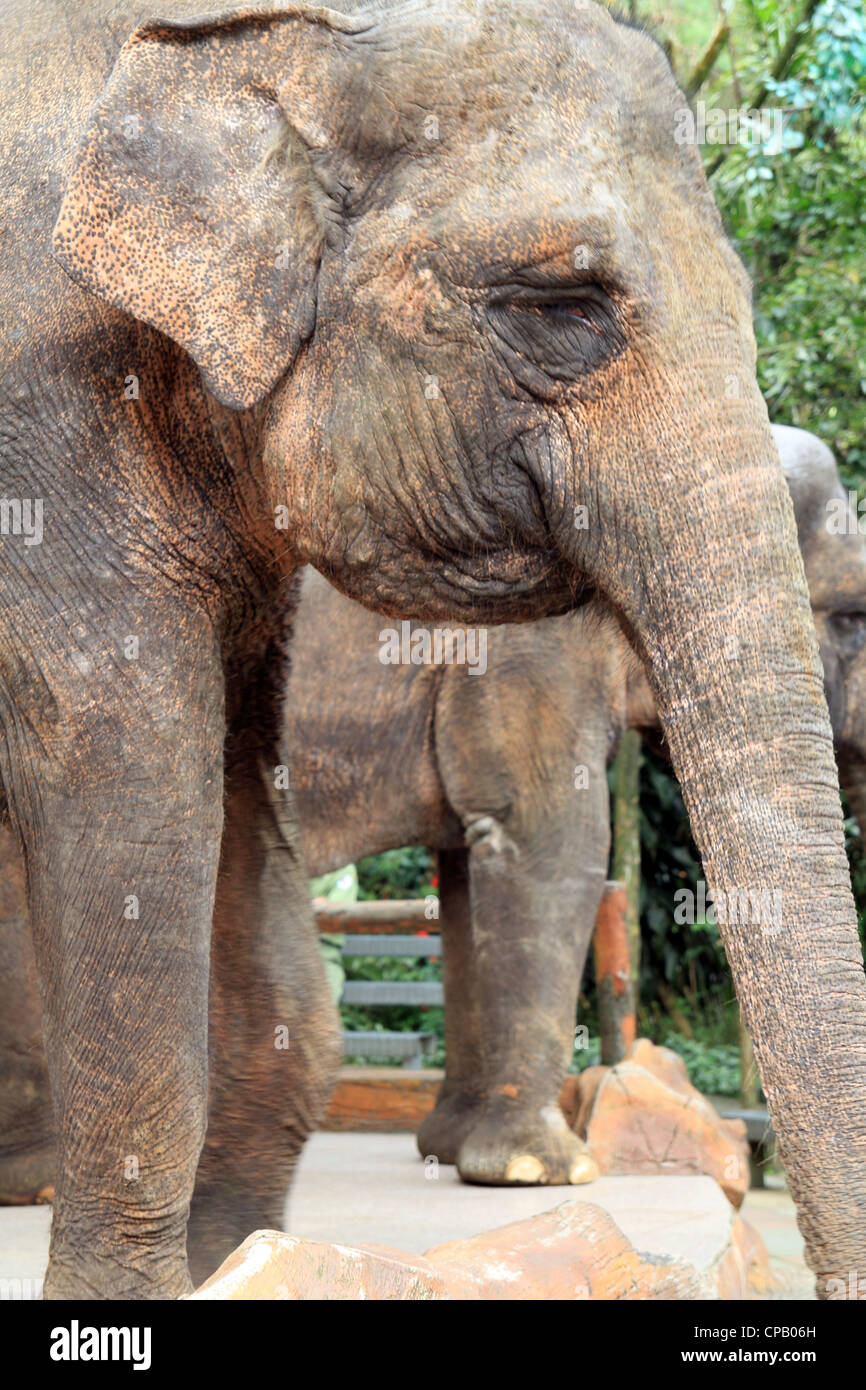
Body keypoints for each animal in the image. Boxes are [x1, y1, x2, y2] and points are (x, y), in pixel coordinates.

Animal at [1, 0, 865, 1299]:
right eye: (564, 308)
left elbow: (272, 836)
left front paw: (247, 1255)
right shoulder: (46, 431)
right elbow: (132, 779)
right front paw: (529, 1175)